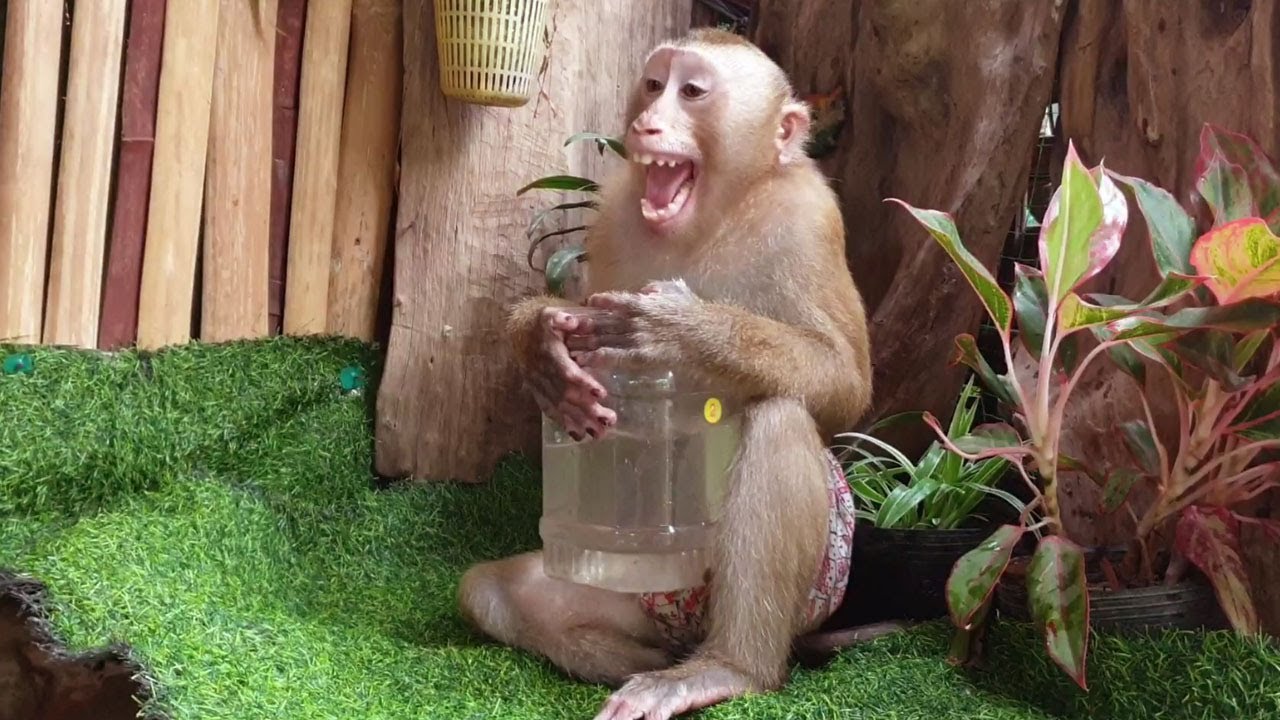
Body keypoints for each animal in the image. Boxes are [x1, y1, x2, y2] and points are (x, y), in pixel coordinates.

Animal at [458, 28, 905, 720]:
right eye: (651, 85)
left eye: (691, 91)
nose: (647, 122)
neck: (715, 212)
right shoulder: (614, 207)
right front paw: (543, 343)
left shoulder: (809, 216)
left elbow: (844, 383)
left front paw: (679, 330)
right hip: (632, 593)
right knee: (491, 592)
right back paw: (640, 659)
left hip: (819, 581)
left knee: (778, 419)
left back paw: (727, 667)